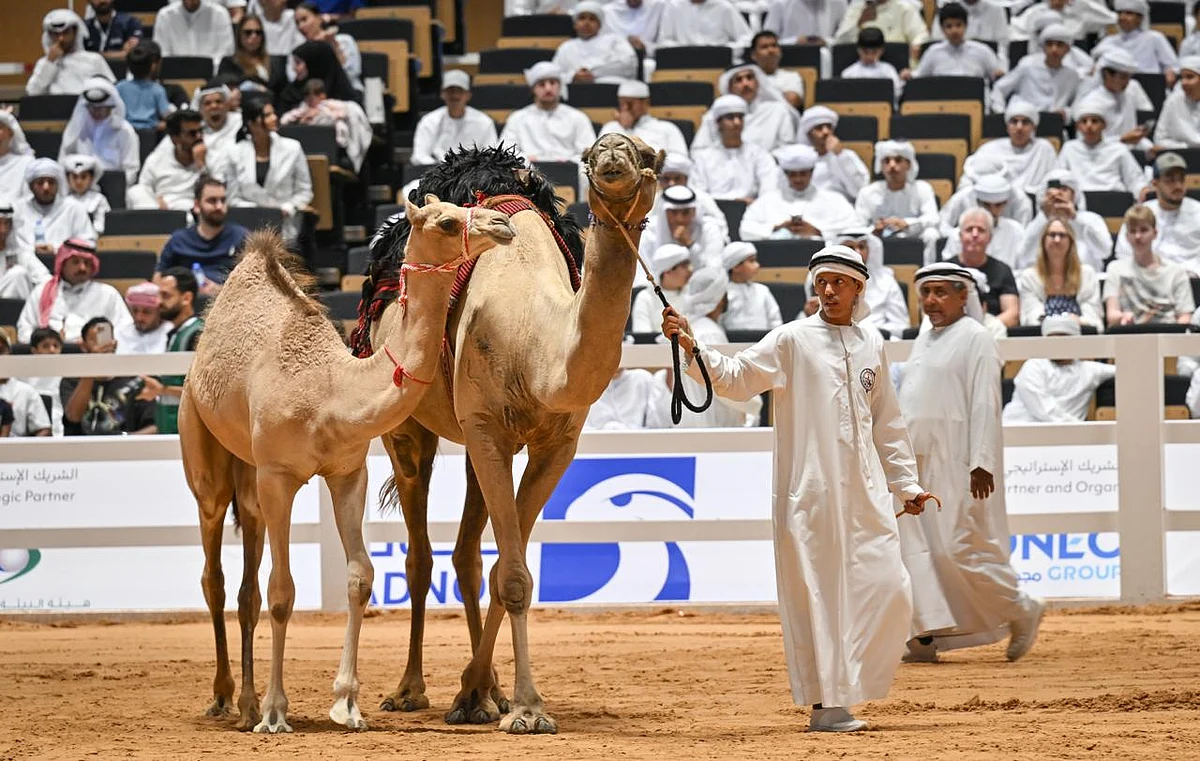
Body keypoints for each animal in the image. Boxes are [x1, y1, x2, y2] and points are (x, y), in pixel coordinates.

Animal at [178, 197, 515, 734]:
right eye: (446, 221)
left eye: (468, 206)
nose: (502, 224)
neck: (329, 393)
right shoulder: (279, 476)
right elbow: (282, 590)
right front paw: (276, 712)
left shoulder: (347, 473)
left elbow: (360, 576)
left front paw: (347, 704)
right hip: (203, 447)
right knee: (215, 569)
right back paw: (226, 699)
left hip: (248, 473)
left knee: (247, 574)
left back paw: (246, 702)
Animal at [361, 136, 662, 734]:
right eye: (594, 154)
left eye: (647, 155)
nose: (614, 154)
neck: (535, 340)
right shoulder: (486, 430)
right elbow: (516, 575)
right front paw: (526, 709)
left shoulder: (555, 445)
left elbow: (508, 566)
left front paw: (483, 693)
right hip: (409, 427)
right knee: (419, 556)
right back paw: (408, 690)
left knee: (467, 557)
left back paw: (485, 692)